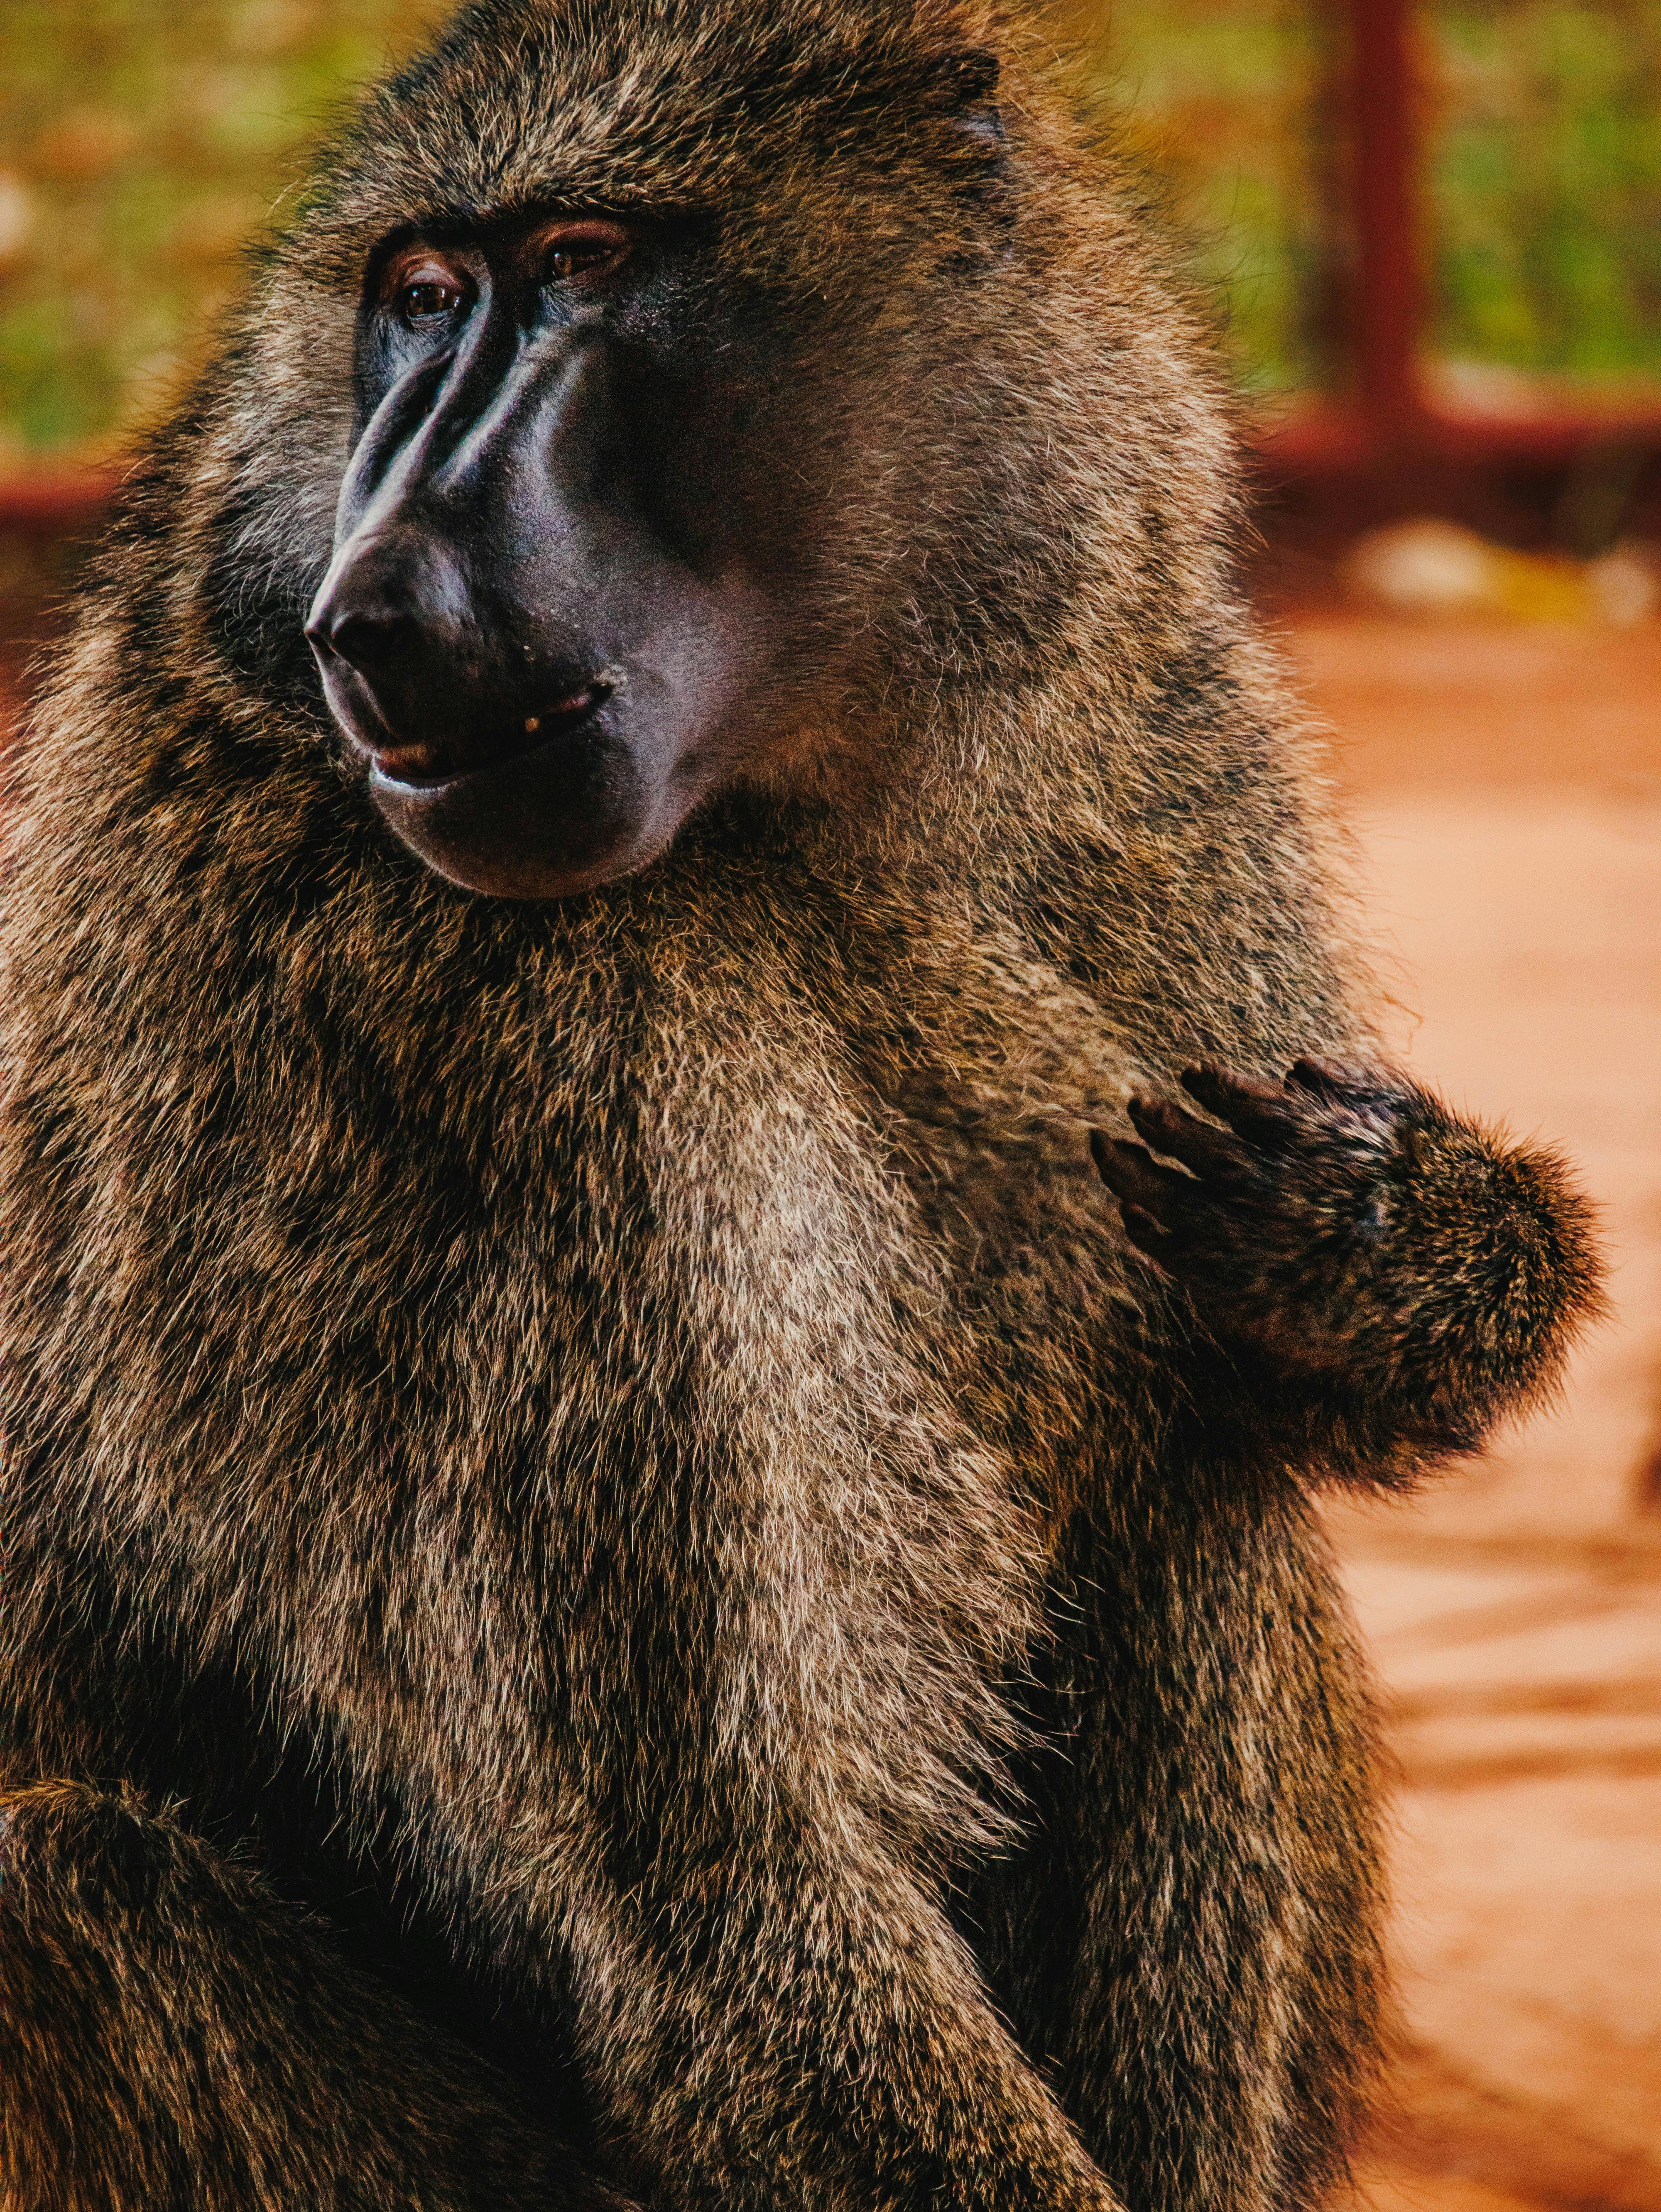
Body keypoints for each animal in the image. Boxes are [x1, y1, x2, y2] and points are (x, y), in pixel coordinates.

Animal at [0, 3, 1601, 2209]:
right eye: (420, 298)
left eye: (579, 265)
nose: (373, 616)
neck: (793, 809)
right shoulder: (480, 1035)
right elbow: (730, 1900)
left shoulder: (1161, 721)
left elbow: (1301, 1375)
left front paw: (1378, 1235)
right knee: (65, 1879)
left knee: (1201, 1483)